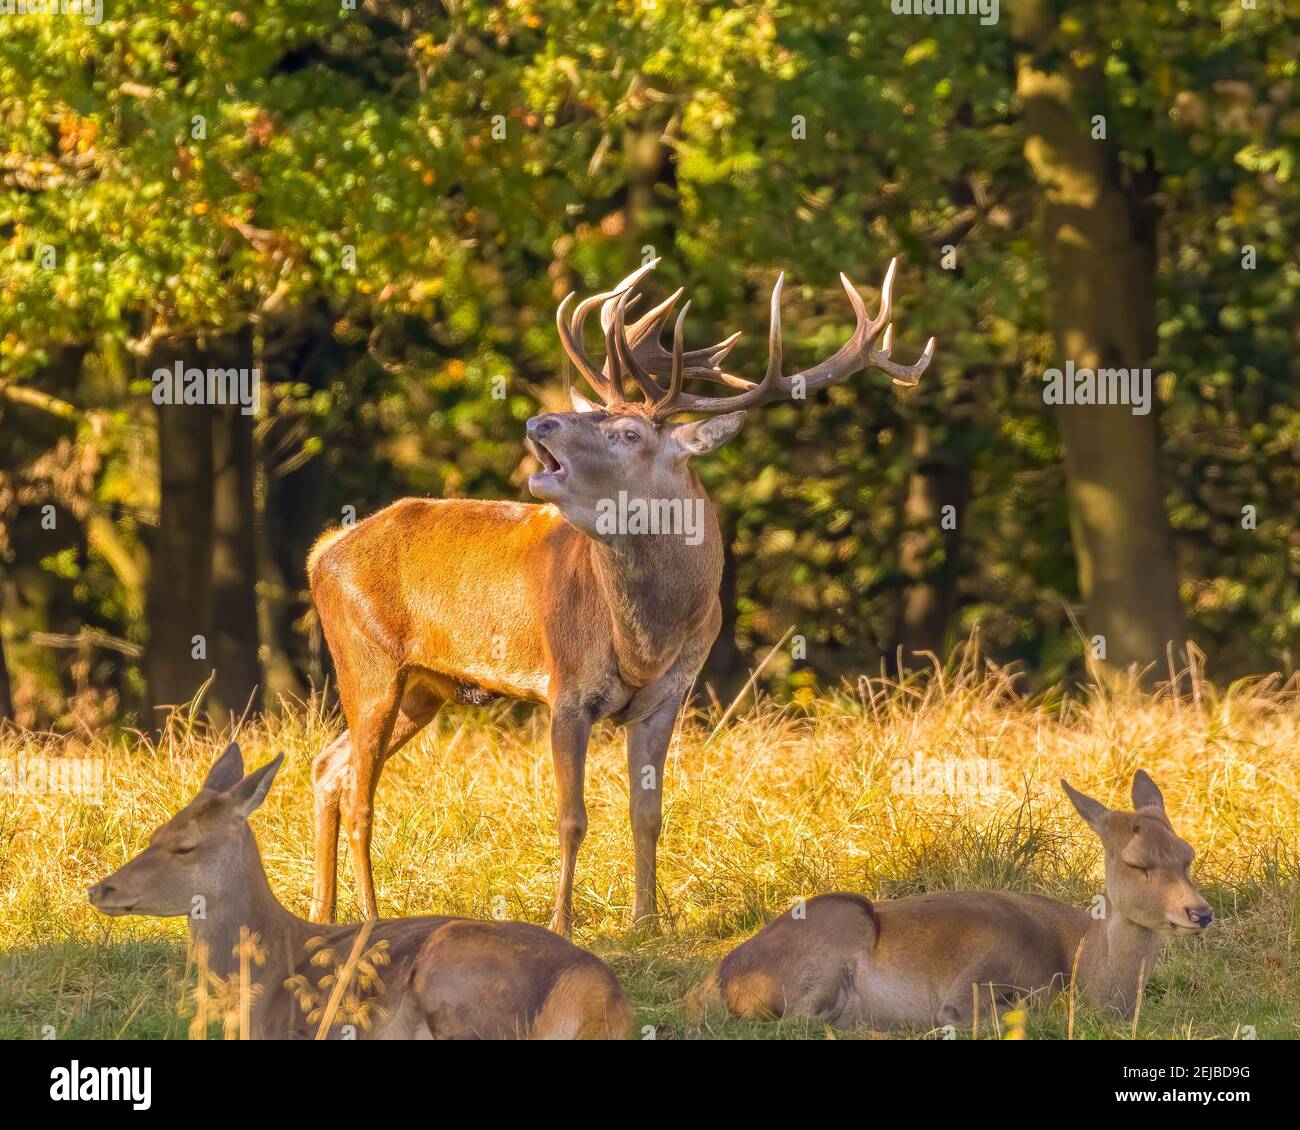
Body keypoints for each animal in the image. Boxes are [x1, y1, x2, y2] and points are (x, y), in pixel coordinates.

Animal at [306, 257, 935, 934]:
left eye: (629, 432)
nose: (539, 422)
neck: (645, 638)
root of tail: (322, 552)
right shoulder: (567, 686)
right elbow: (570, 817)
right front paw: (562, 923)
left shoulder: (669, 697)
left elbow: (648, 813)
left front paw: (647, 921)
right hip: (368, 659)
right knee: (360, 790)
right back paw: (370, 917)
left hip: (426, 685)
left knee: (329, 766)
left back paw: (324, 911)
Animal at [691, 771, 1214, 1028]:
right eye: (1137, 863)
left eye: (1187, 854)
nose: (1200, 912)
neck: (1082, 967)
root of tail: (717, 981)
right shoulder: (972, 983)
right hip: (839, 924)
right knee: (799, 1022)